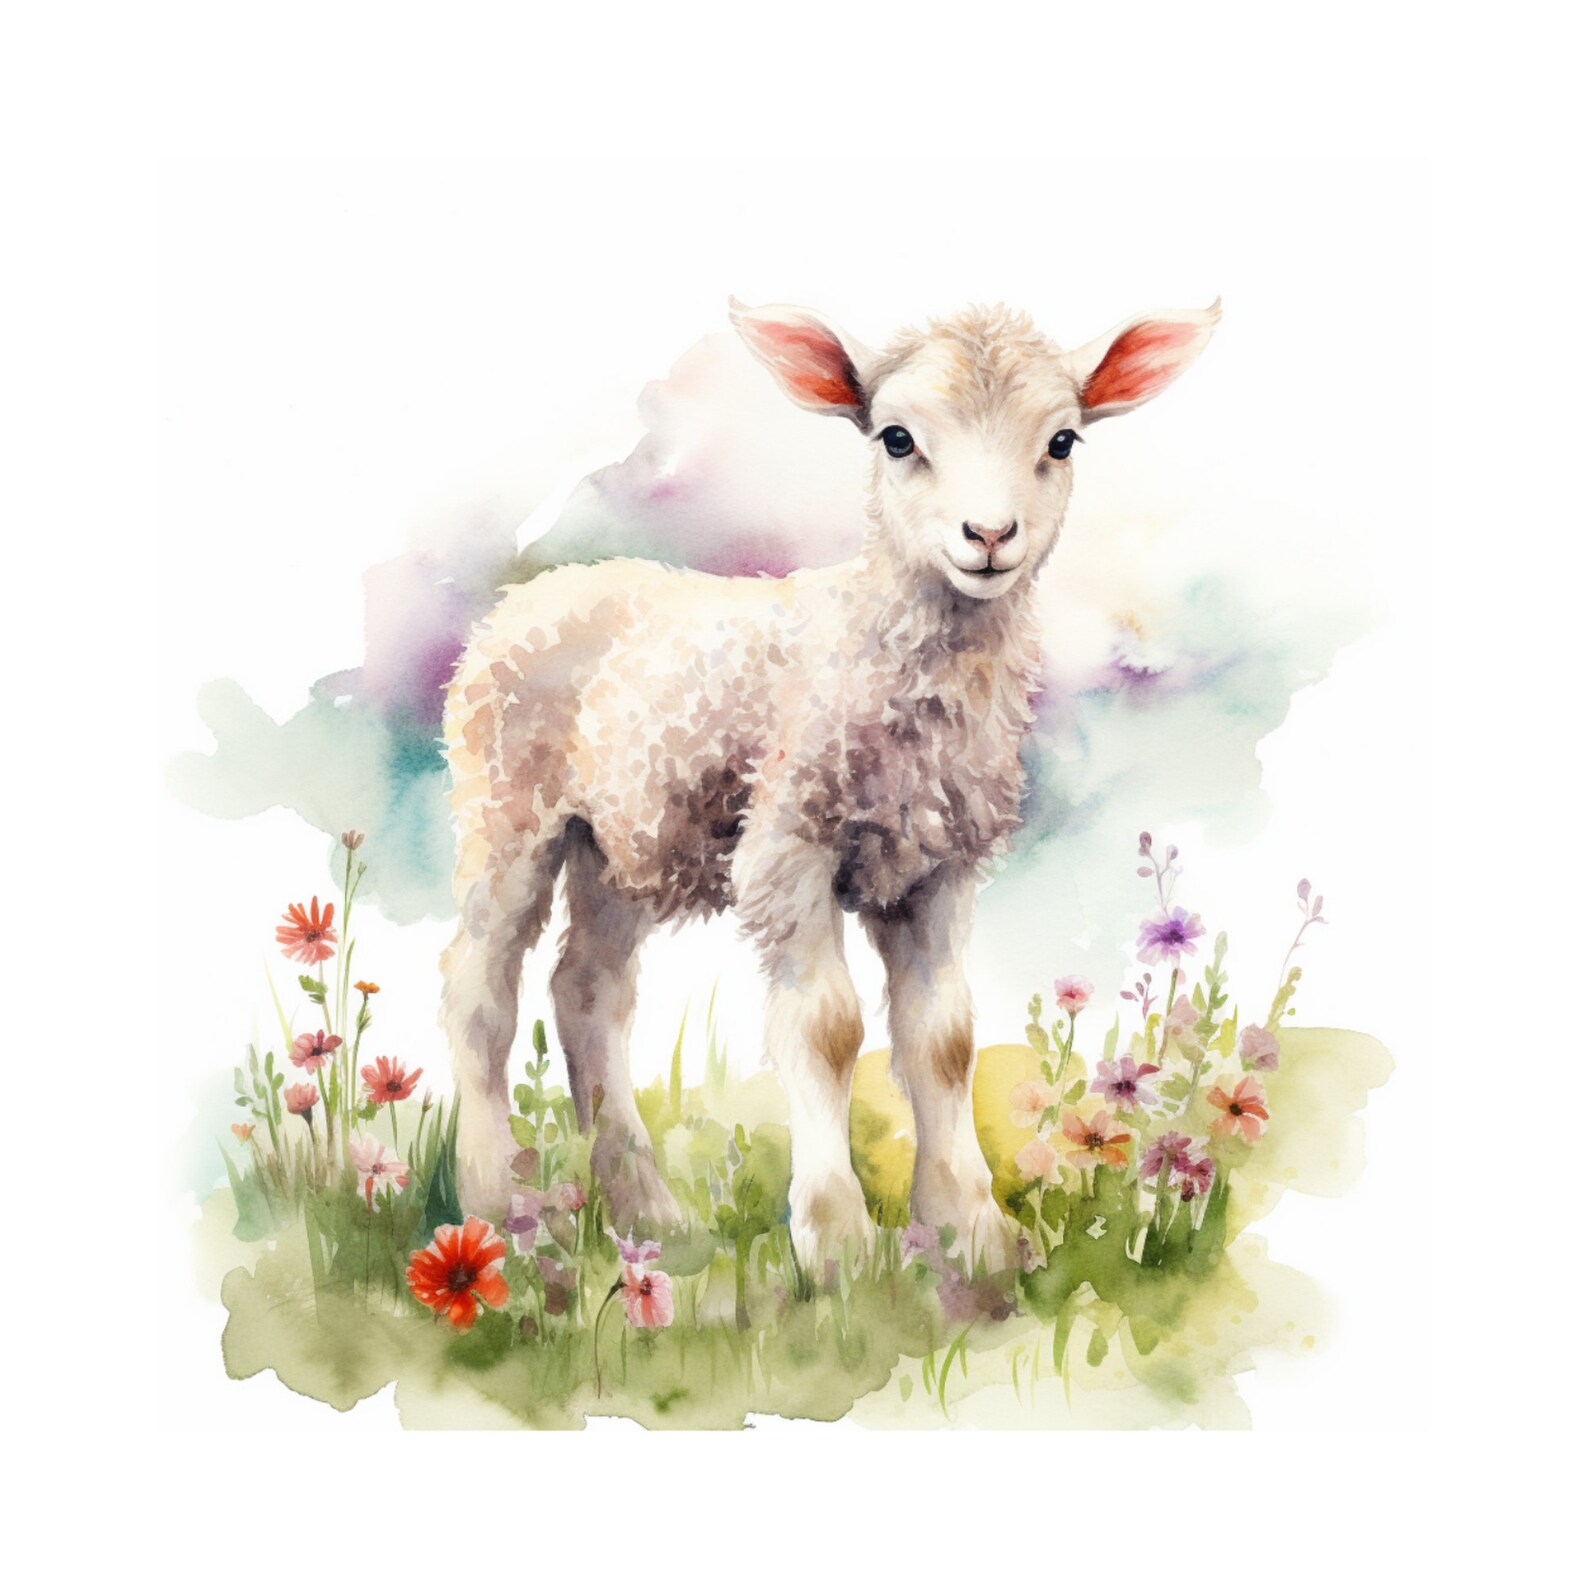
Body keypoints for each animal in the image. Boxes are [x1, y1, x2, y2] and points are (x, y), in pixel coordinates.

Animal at [440, 296, 1219, 1269]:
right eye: (896, 437)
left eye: (1063, 441)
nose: (989, 537)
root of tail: (535, 595)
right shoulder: (787, 843)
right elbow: (827, 1028)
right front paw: (837, 1242)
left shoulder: (936, 865)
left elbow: (943, 1039)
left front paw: (973, 1232)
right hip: (505, 808)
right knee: (478, 989)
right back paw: (492, 1199)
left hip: (619, 841)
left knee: (588, 993)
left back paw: (648, 1213)